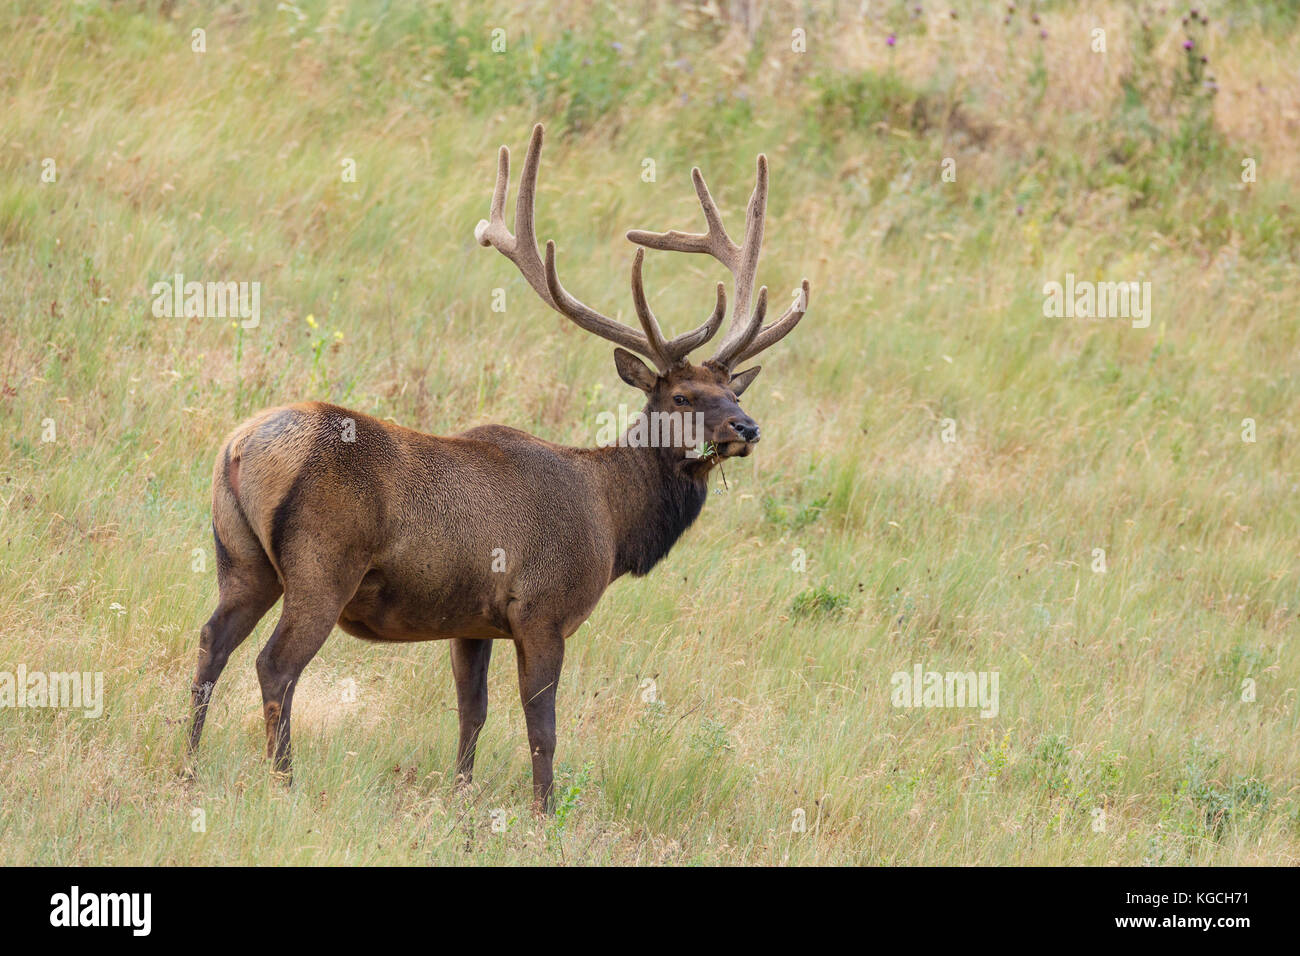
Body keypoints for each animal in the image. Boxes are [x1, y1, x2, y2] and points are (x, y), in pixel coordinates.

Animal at [185, 123, 811, 812]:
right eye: (681, 396)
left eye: (733, 391)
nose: (747, 428)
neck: (613, 522)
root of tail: (239, 446)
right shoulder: (542, 610)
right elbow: (543, 727)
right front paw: (544, 812)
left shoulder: (472, 619)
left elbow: (472, 712)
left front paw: (459, 798)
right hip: (323, 565)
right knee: (275, 665)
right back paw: (285, 781)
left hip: (241, 558)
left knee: (211, 642)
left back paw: (186, 766)